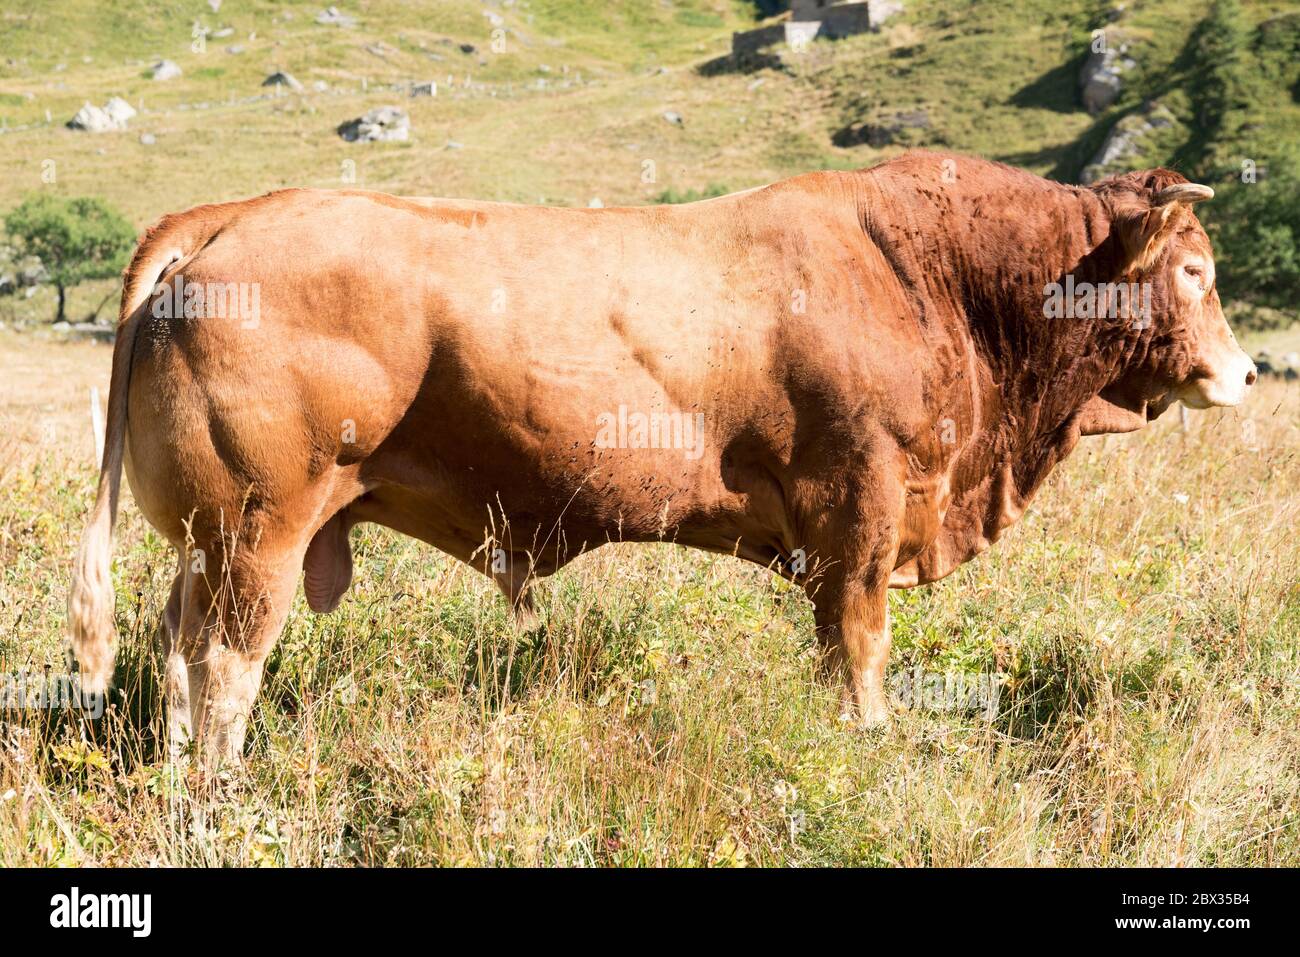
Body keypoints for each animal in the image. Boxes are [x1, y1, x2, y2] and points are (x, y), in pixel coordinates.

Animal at [67, 152, 1256, 765]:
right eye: (1195, 269)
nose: (1245, 372)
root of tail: (231, 214)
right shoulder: (860, 513)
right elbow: (860, 655)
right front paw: (868, 751)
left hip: (209, 546)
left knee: (176, 658)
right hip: (258, 530)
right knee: (226, 669)